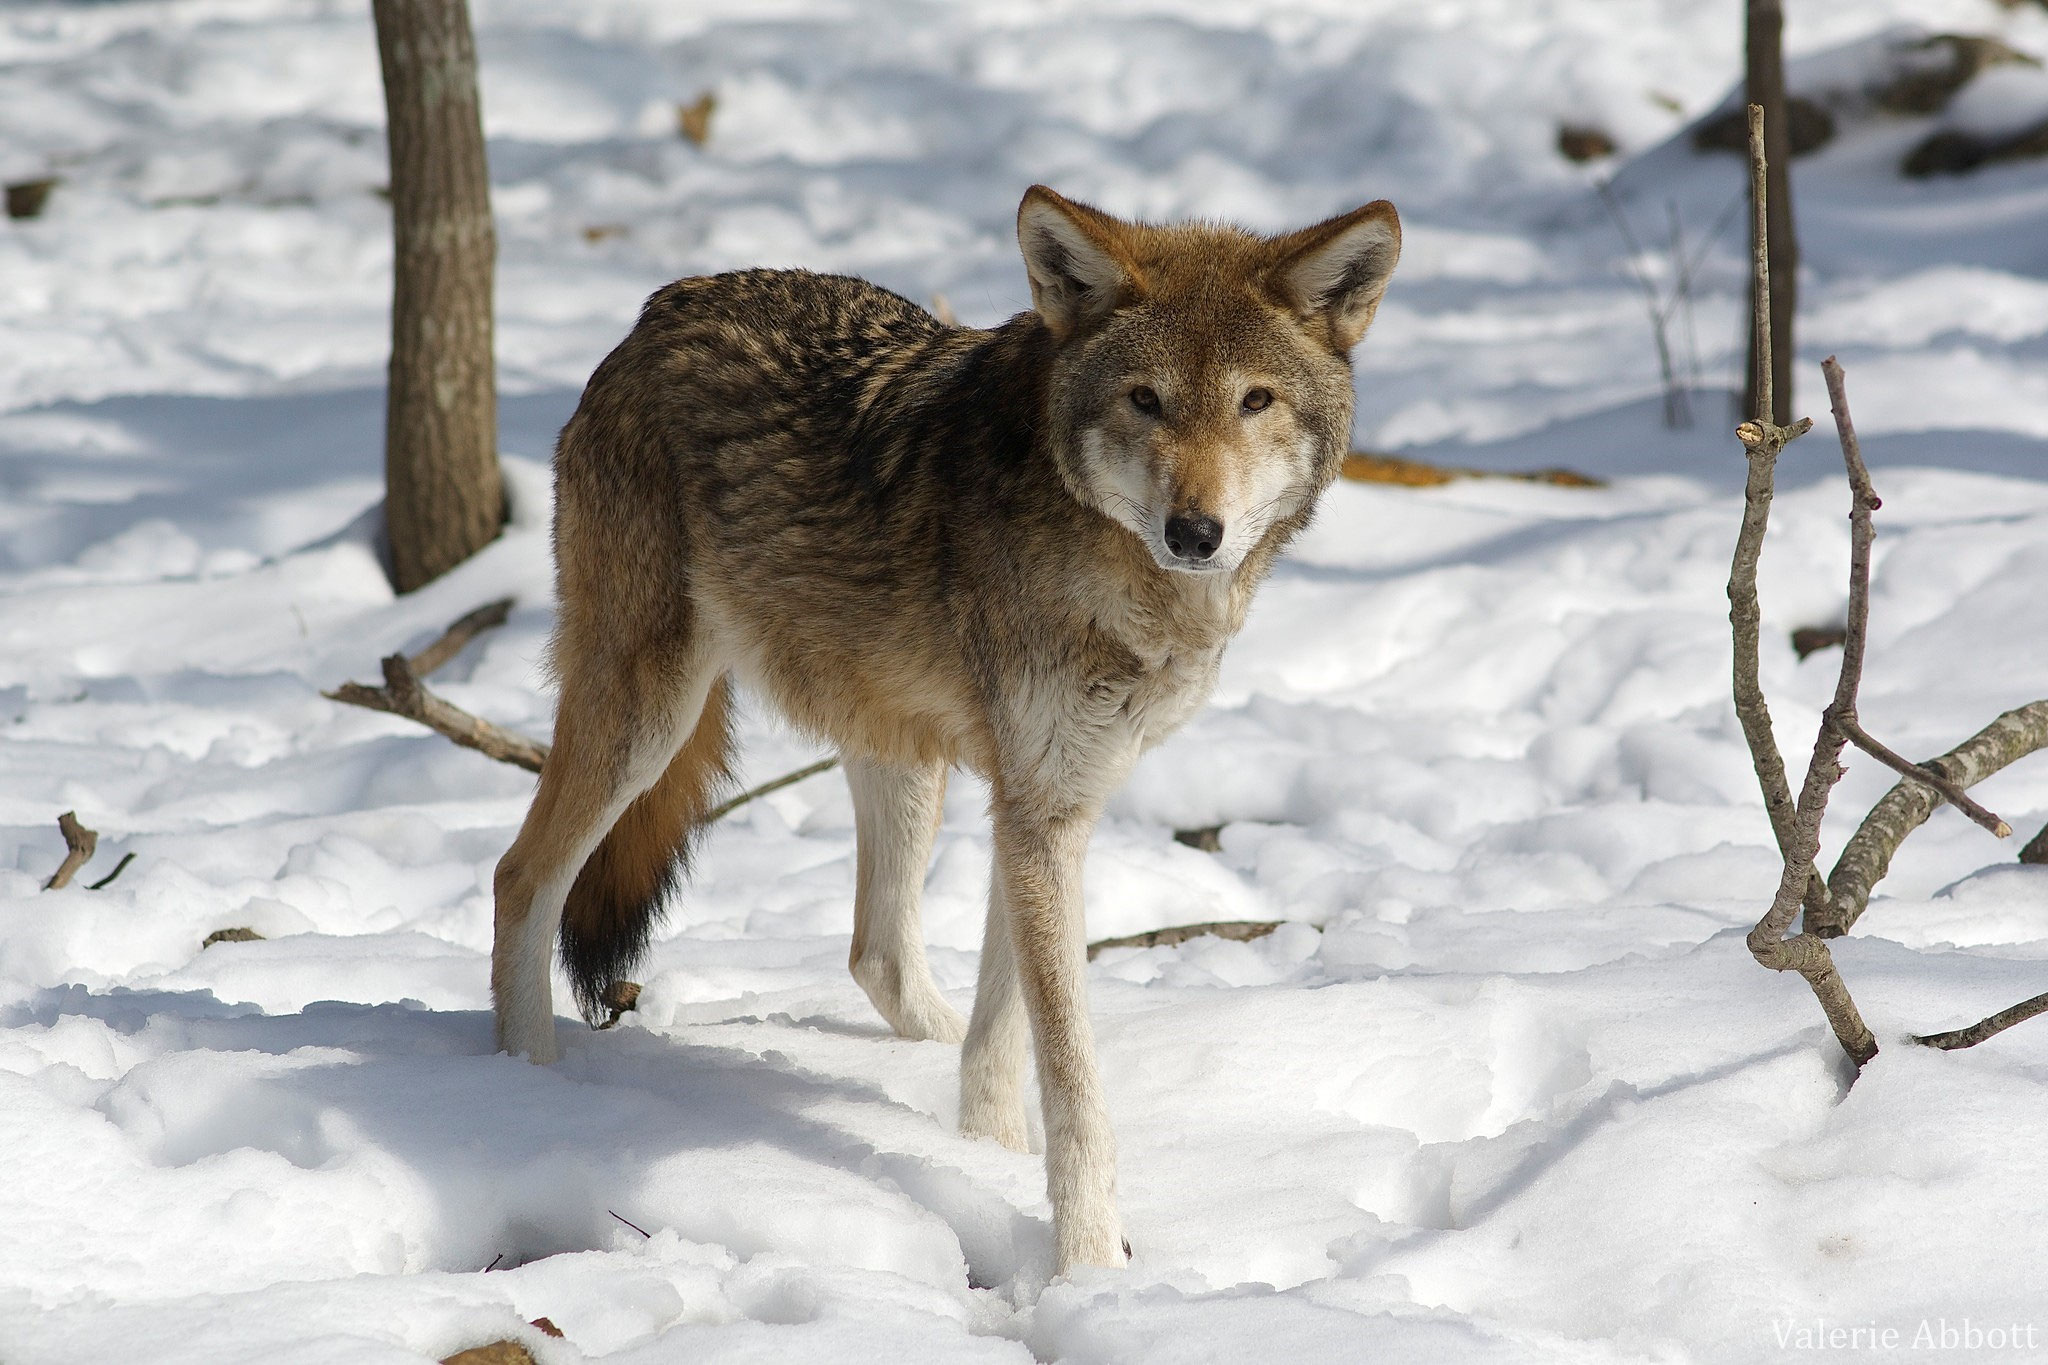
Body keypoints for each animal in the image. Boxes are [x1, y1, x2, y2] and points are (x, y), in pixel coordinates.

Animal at [491, 184, 1400, 1273]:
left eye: (1254, 401)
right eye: (1145, 400)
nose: (1194, 533)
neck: (1119, 574)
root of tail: (655, 311)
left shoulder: (1045, 805)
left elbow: (1005, 1037)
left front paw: (991, 1163)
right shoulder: (1039, 811)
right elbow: (1073, 1080)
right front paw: (1090, 1266)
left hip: (900, 754)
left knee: (876, 954)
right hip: (650, 716)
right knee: (522, 878)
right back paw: (526, 1088)